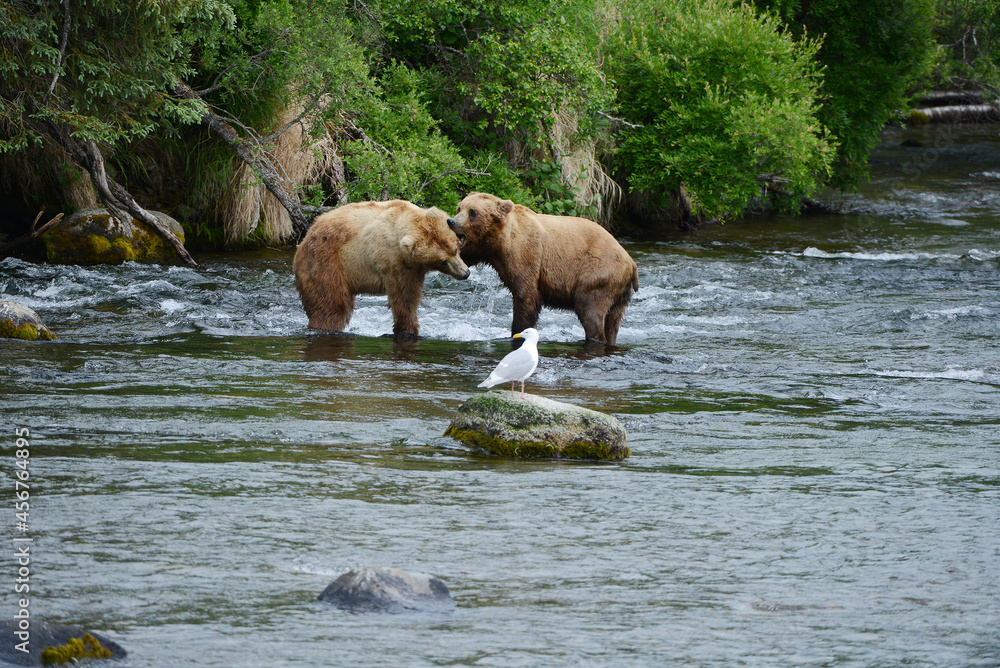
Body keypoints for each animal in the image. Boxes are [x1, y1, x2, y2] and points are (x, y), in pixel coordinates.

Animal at [293, 200, 470, 340]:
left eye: (455, 249)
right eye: (442, 261)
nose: (465, 273)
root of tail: (304, 240)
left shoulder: (414, 268)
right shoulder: (393, 263)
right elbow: (404, 298)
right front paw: (407, 330)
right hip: (325, 263)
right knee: (331, 305)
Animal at [448, 192, 638, 345]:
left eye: (473, 212)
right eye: (459, 207)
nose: (451, 221)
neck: (500, 241)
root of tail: (631, 262)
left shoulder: (527, 254)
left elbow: (526, 296)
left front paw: (518, 331)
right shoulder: (482, 250)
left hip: (599, 273)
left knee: (591, 311)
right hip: (620, 292)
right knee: (613, 321)